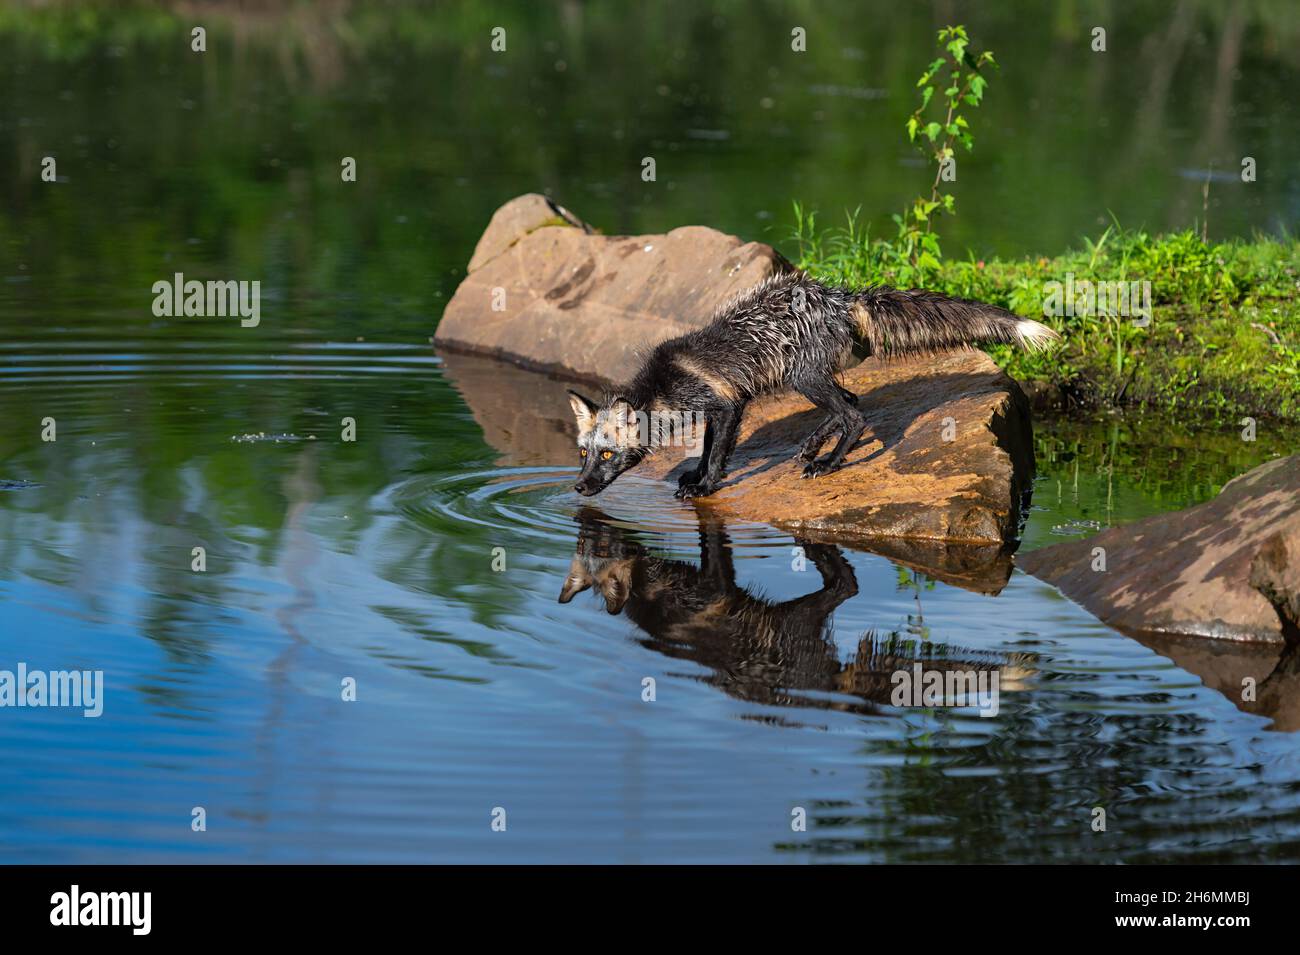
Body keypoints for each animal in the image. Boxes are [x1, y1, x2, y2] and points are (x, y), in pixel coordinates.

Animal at [567, 270, 1059, 498]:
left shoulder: (727, 406)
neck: (665, 385)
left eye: (607, 455)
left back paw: (828, 463)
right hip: (809, 378)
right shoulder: (714, 408)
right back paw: (811, 448)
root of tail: (839, 296)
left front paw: (705, 485)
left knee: (855, 414)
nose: (579, 488)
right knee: (849, 402)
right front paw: (694, 475)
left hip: (803, 379)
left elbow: (718, 454)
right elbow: (707, 448)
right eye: (583, 453)